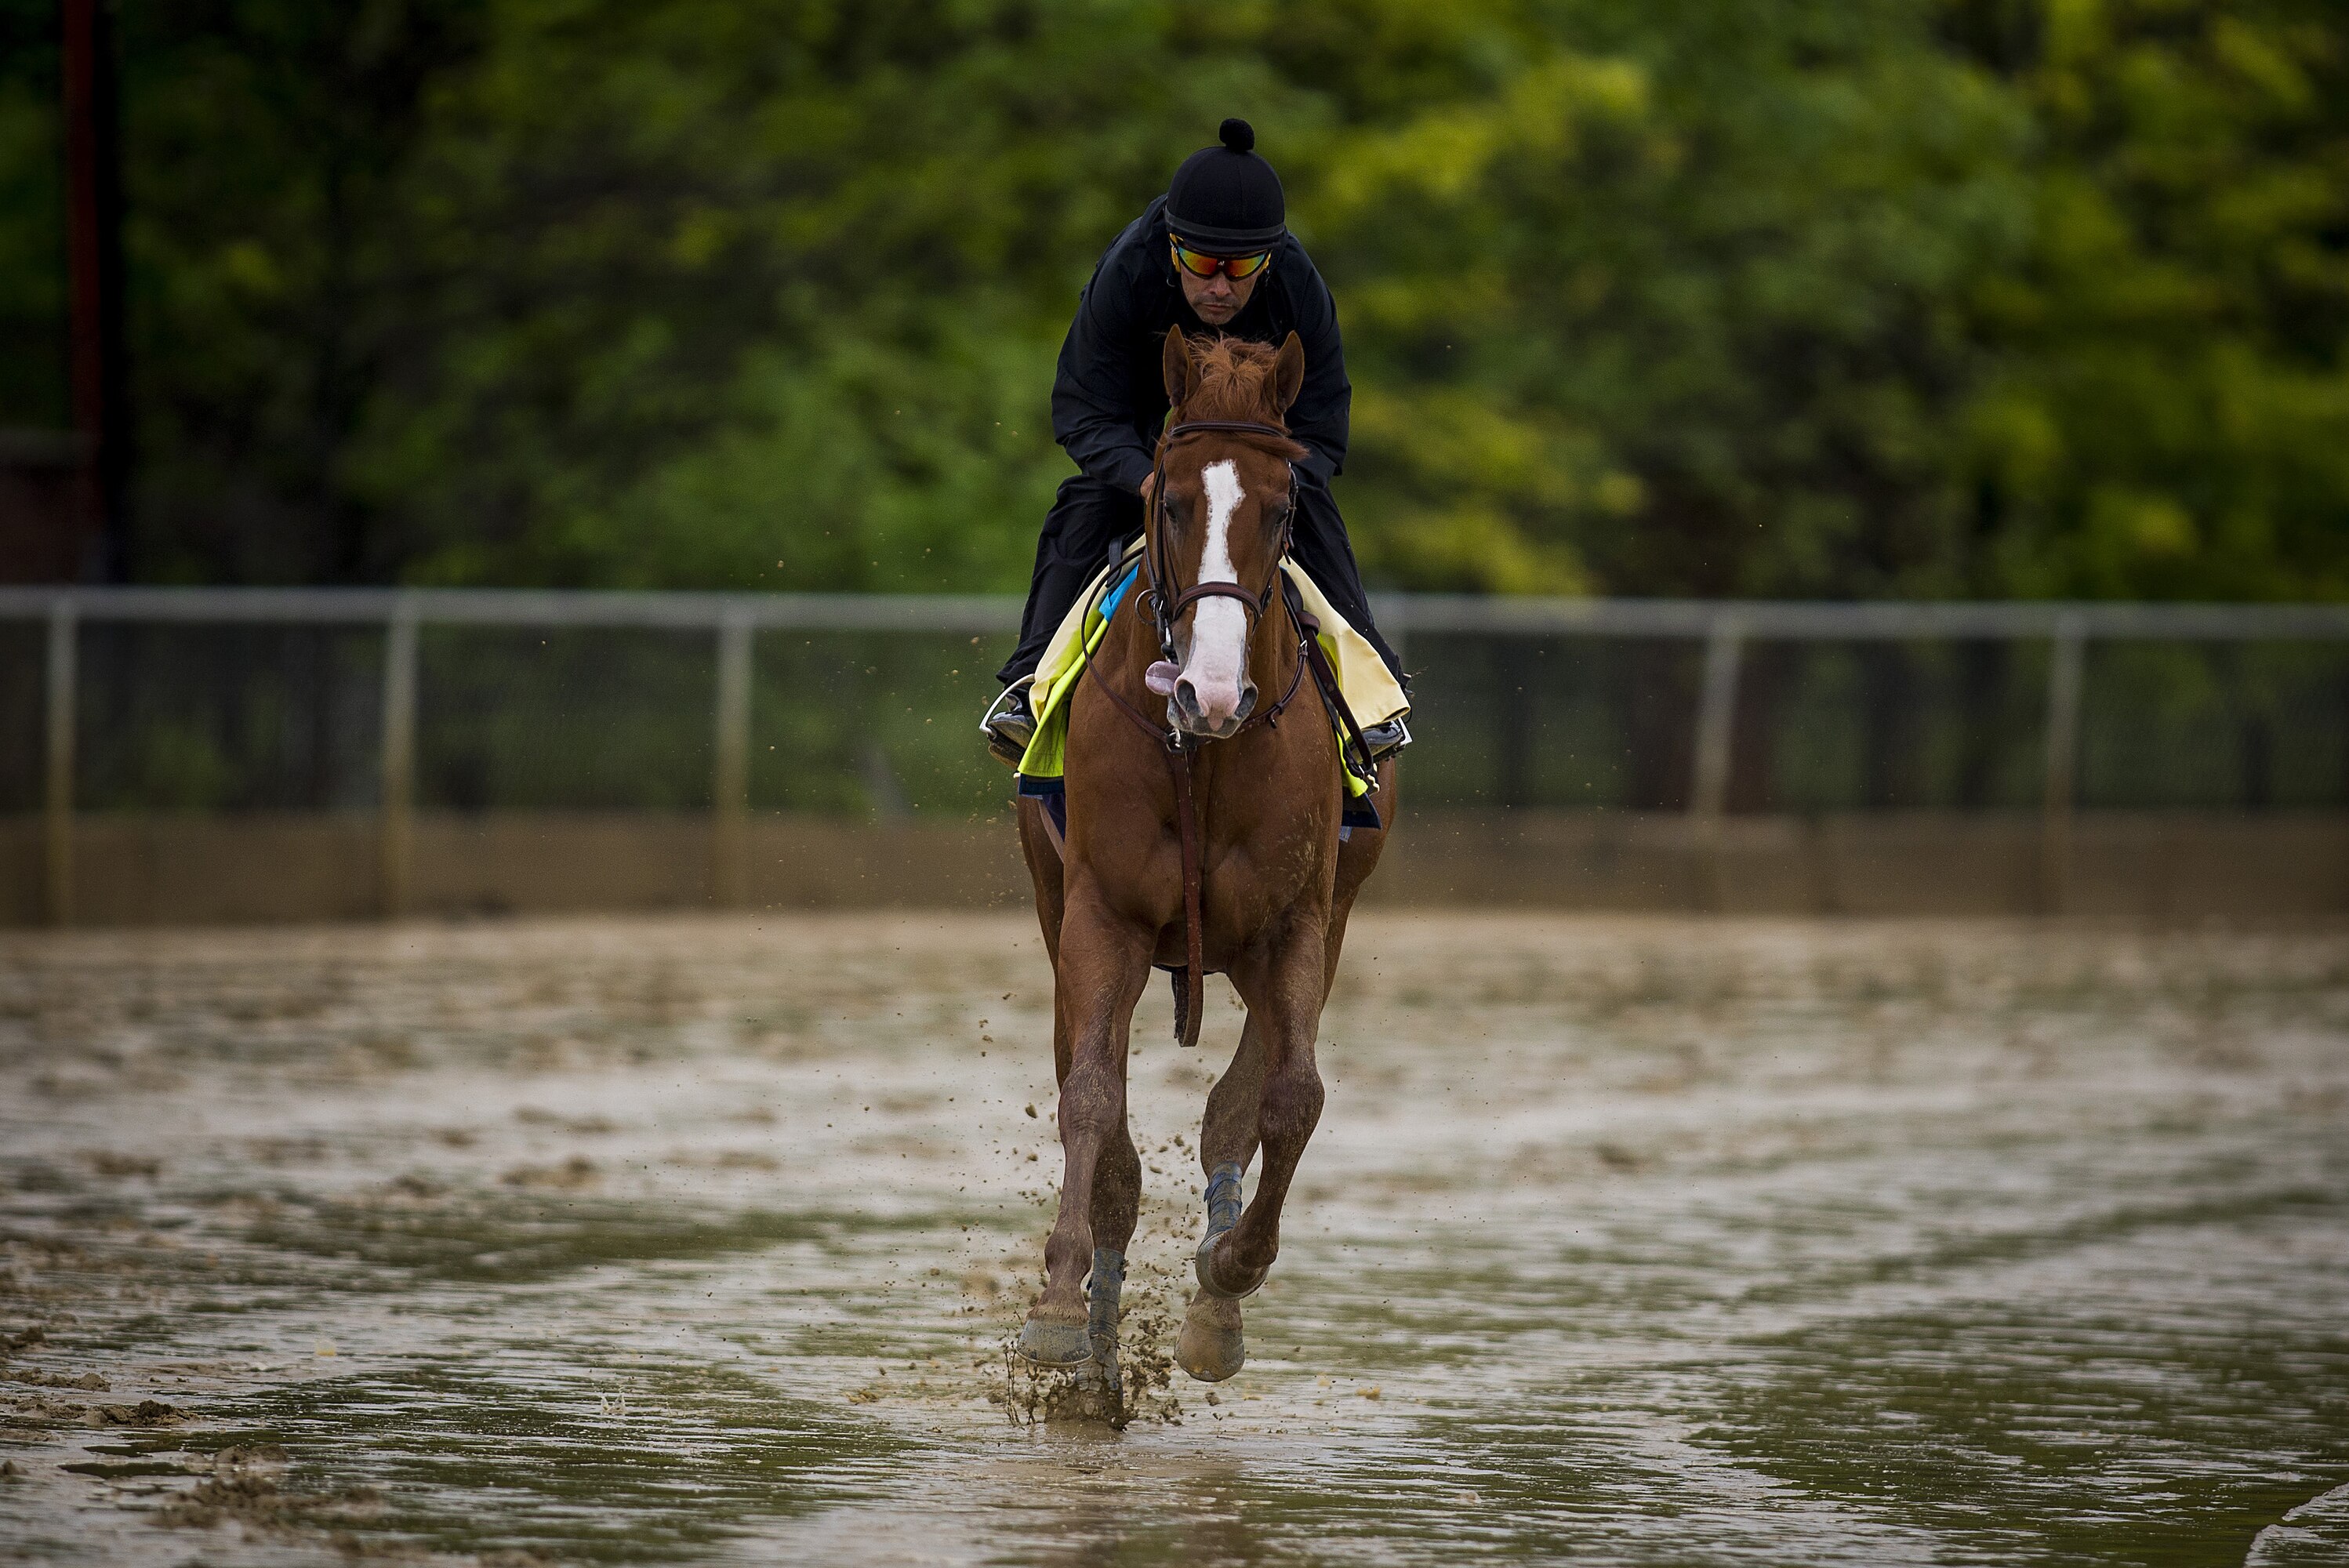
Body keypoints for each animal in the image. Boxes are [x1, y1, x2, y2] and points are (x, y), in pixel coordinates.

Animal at [1013, 326, 1397, 1408]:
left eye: (1282, 507)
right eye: (1172, 499)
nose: (1209, 691)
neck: (1209, 755)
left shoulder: (1299, 921)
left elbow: (1288, 1098)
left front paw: (1228, 1275)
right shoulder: (1099, 917)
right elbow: (1091, 1102)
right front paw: (1059, 1307)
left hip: (1321, 922)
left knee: (1241, 1101)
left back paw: (1210, 1304)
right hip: (1057, 905)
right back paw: (1098, 1349)